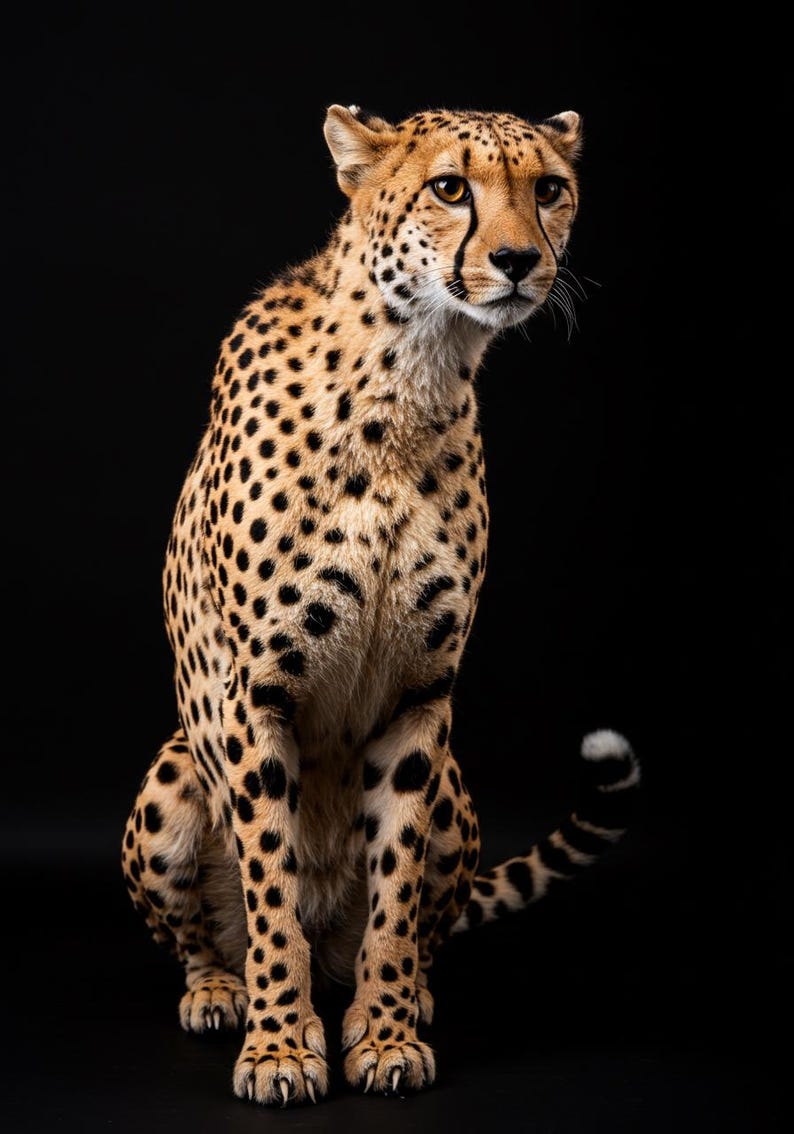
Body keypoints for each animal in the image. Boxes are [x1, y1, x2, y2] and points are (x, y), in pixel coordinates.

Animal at [121, 102, 640, 1107]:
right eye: (450, 187)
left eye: (549, 189)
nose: (518, 260)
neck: (412, 372)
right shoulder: (255, 698)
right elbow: (272, 888)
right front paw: (279, 1047)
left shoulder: (420, 697)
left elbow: (395, 887)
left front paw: (389, 1033)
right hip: (172, 781)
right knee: (207, 934)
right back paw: (222, 992)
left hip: (457, 796)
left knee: (410, 922)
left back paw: (380, 996)